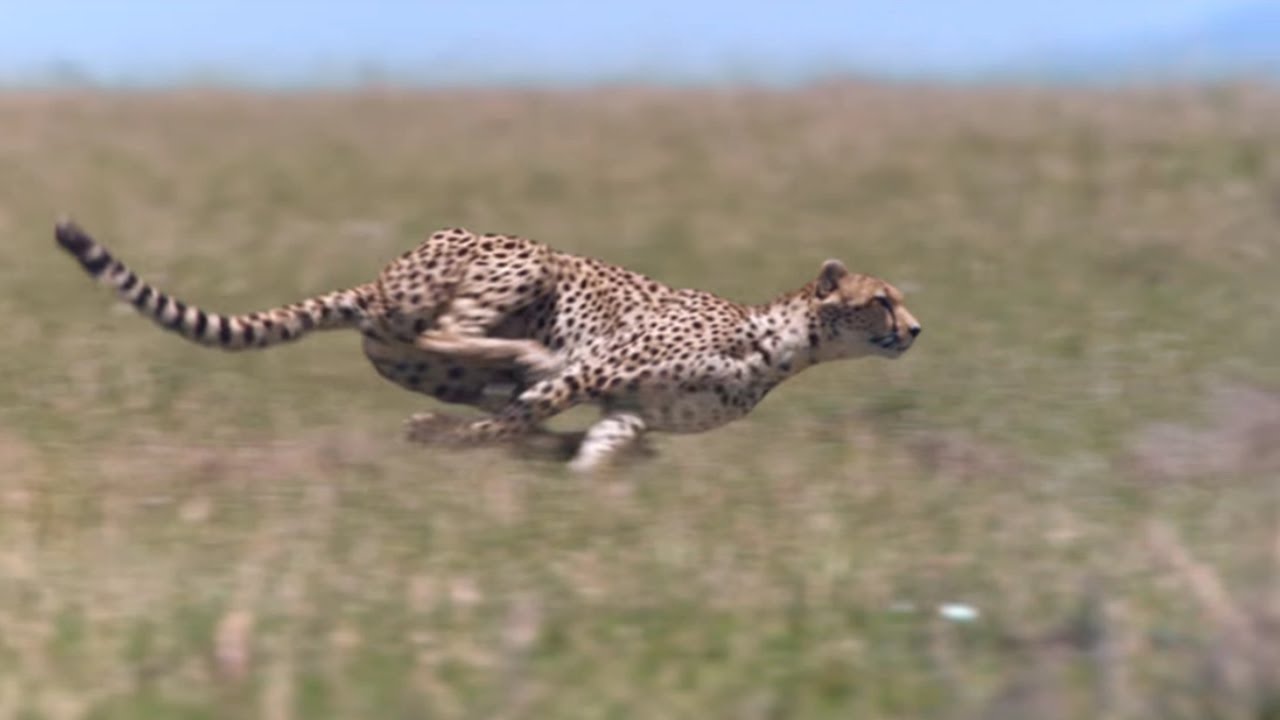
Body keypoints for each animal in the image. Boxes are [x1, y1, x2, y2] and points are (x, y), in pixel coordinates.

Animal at [54, 219, 921, 472]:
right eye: (881, 298)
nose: (915, 330)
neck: (782, 345)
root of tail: (377, 282)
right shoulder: (603, 368)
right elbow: (512, 422)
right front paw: (444, 440)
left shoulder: (628, 410)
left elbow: (596, 449)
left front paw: (582, 477)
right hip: (525, 261)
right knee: (467, 338)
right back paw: (522, 364)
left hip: (418, 357)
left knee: (475, 372)